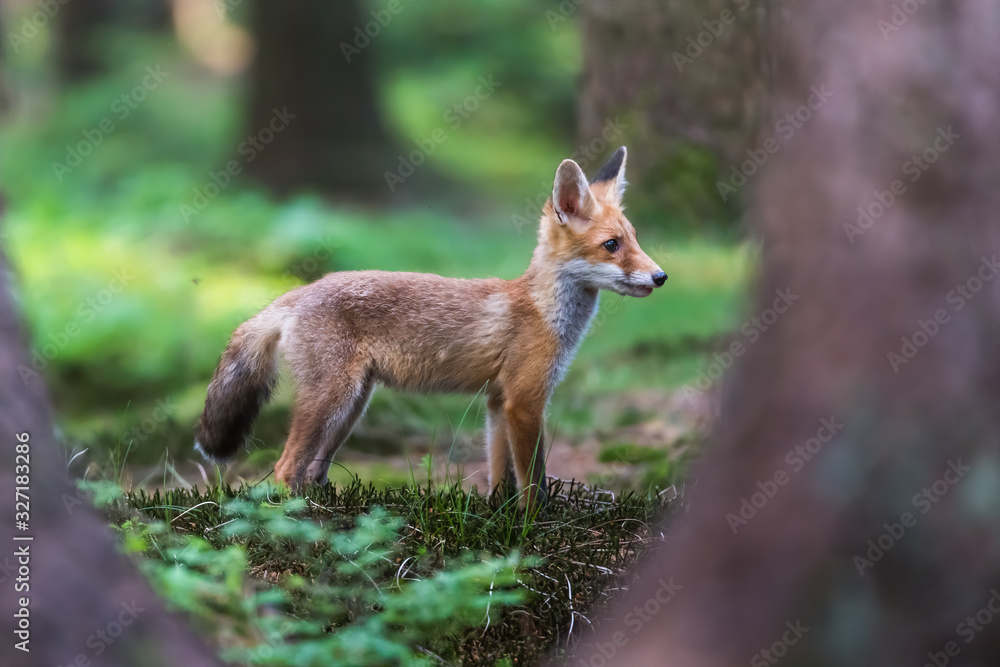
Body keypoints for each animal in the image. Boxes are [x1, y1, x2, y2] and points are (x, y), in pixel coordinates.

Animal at [194, 146, 667, 511]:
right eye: (611, 246)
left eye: (635, 238)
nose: (661, 277)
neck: (542, 311)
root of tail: (296, 293)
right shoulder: (525, 402)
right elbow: (534, 483)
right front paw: (534, 529)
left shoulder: (497, 402)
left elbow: (500, 476)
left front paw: (498, 519)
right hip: (332, 400)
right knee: (284, 468)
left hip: (351, 407)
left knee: (312, 469)